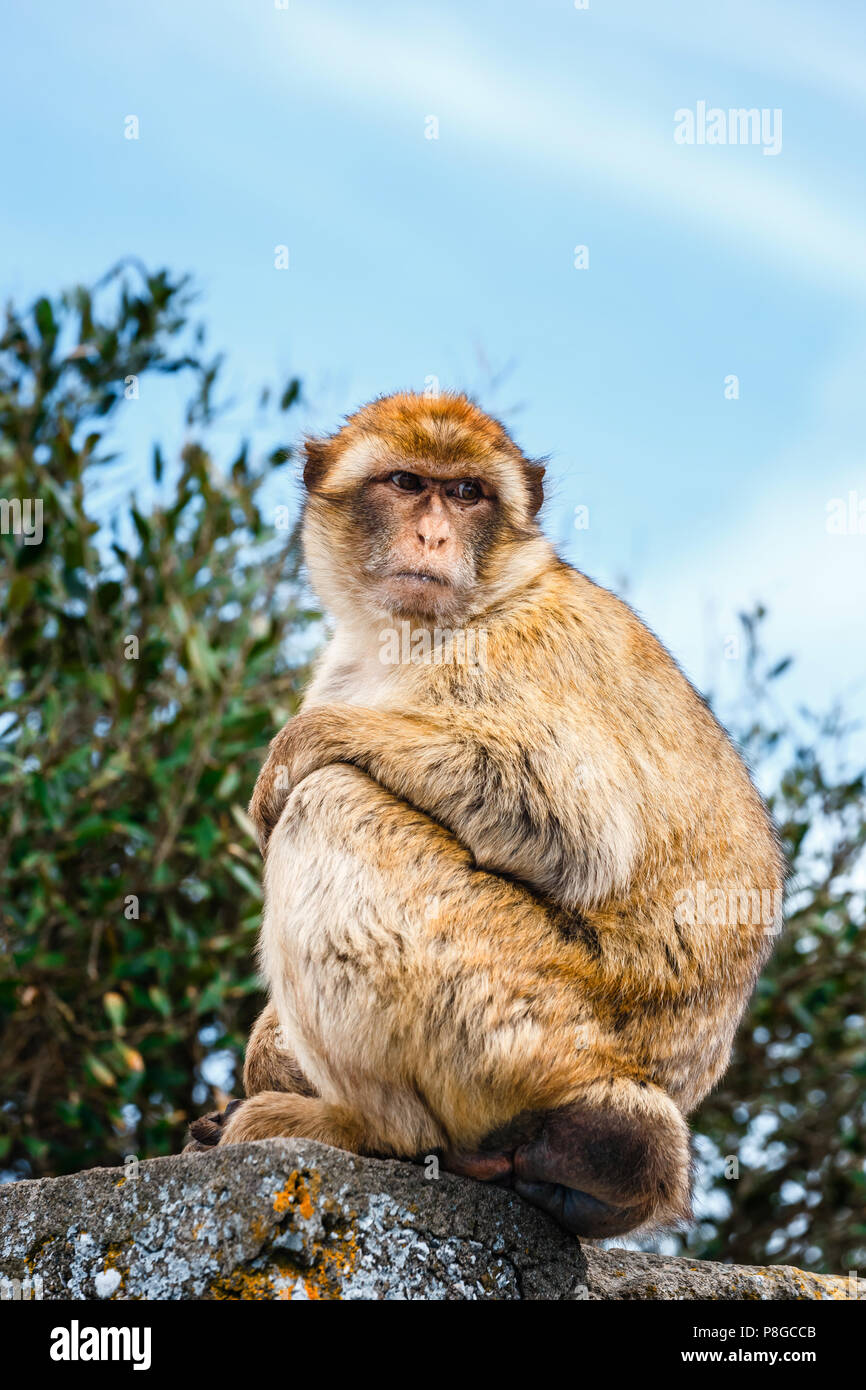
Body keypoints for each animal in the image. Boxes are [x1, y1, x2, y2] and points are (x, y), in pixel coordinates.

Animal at [188, 390, 783, 1239]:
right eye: (409, 484)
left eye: (468, 494)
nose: (435, 535)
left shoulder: (521, 647)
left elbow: (574, 827)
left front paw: (306, 742)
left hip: (524, 1020)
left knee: (333, 801)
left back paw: (375, 1133)